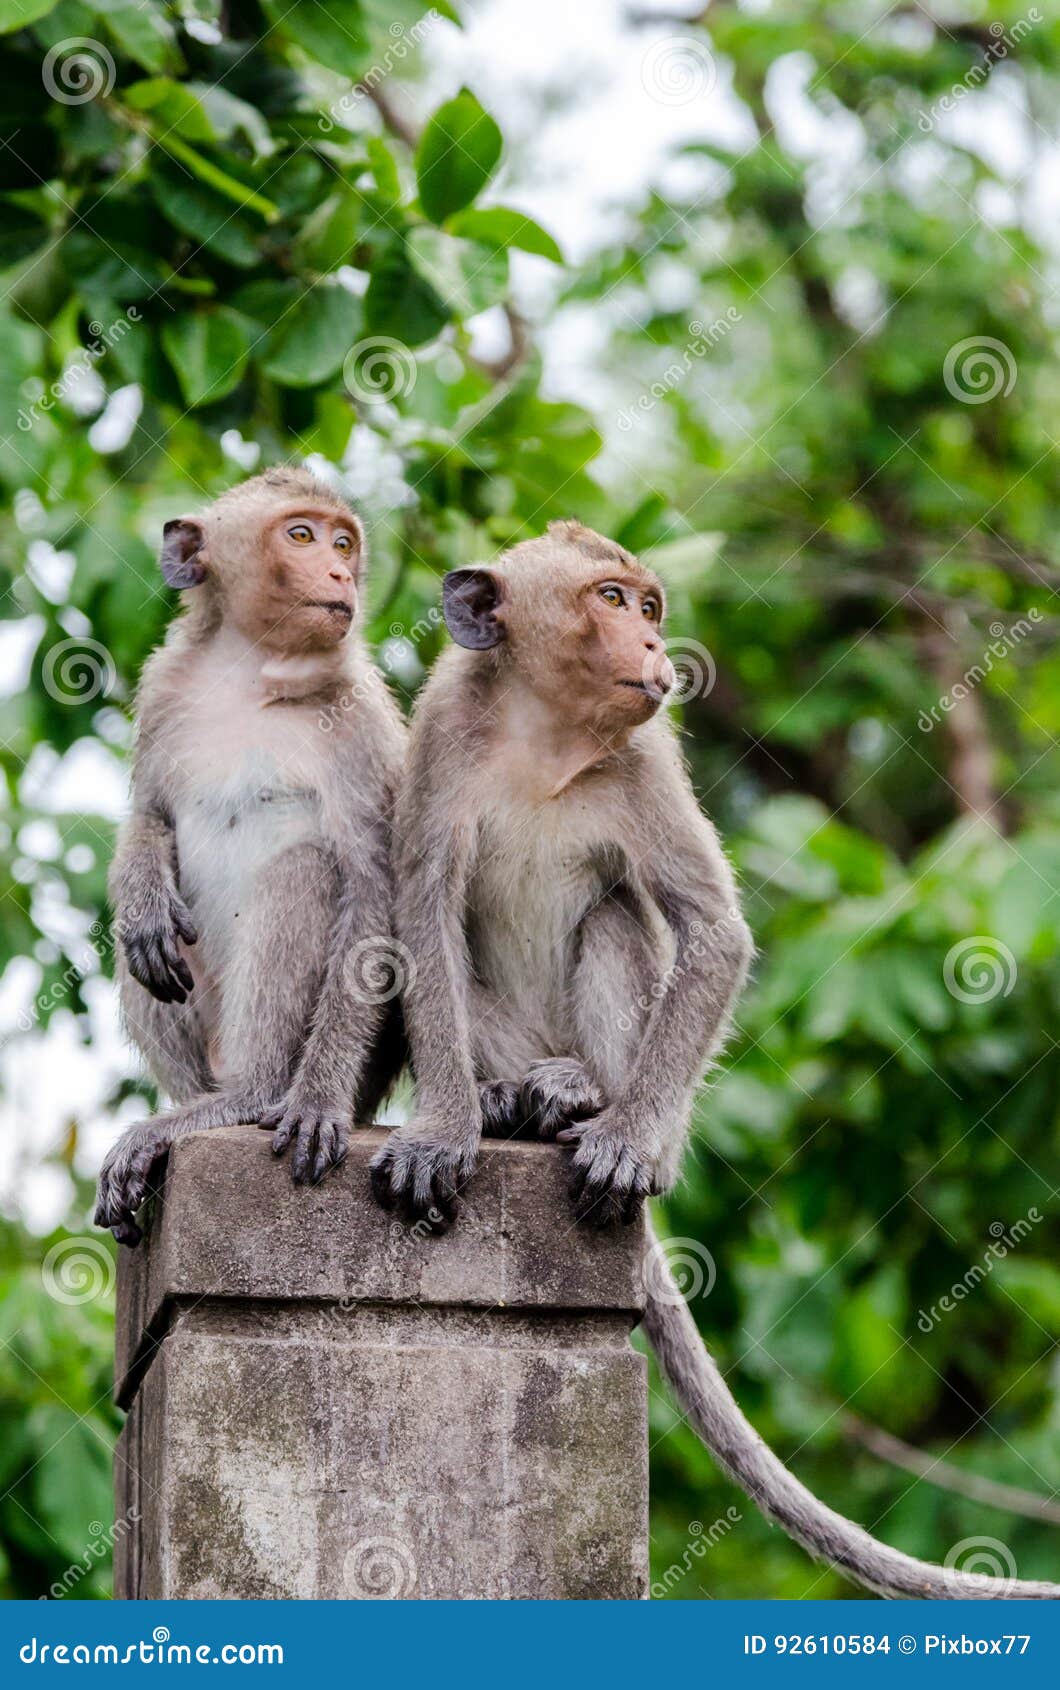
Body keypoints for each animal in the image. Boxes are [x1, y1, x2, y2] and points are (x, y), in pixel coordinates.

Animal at [95, 467, 407, 1246]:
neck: (251, 674)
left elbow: (373, 892)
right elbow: (151, 815)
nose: (339, 572)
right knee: (142, 949)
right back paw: (188, 1109)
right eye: (300, 535)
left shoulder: (360, 722)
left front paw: (316, 1100)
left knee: (305, 871)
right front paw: (143, 895)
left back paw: (246, 1098)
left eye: (342, 542)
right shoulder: (165, 685)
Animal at [369, 520, 1060, 1601]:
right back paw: (506, 1098)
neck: (544, 738)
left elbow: (712, 933)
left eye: (648, 605)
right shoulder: (440, 742)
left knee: (618, 918)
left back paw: (584, 1098)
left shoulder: (645, 758)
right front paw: (444, 1125)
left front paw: (630, 1144)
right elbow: (421, 921)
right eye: (612, 600)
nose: (657, 646)